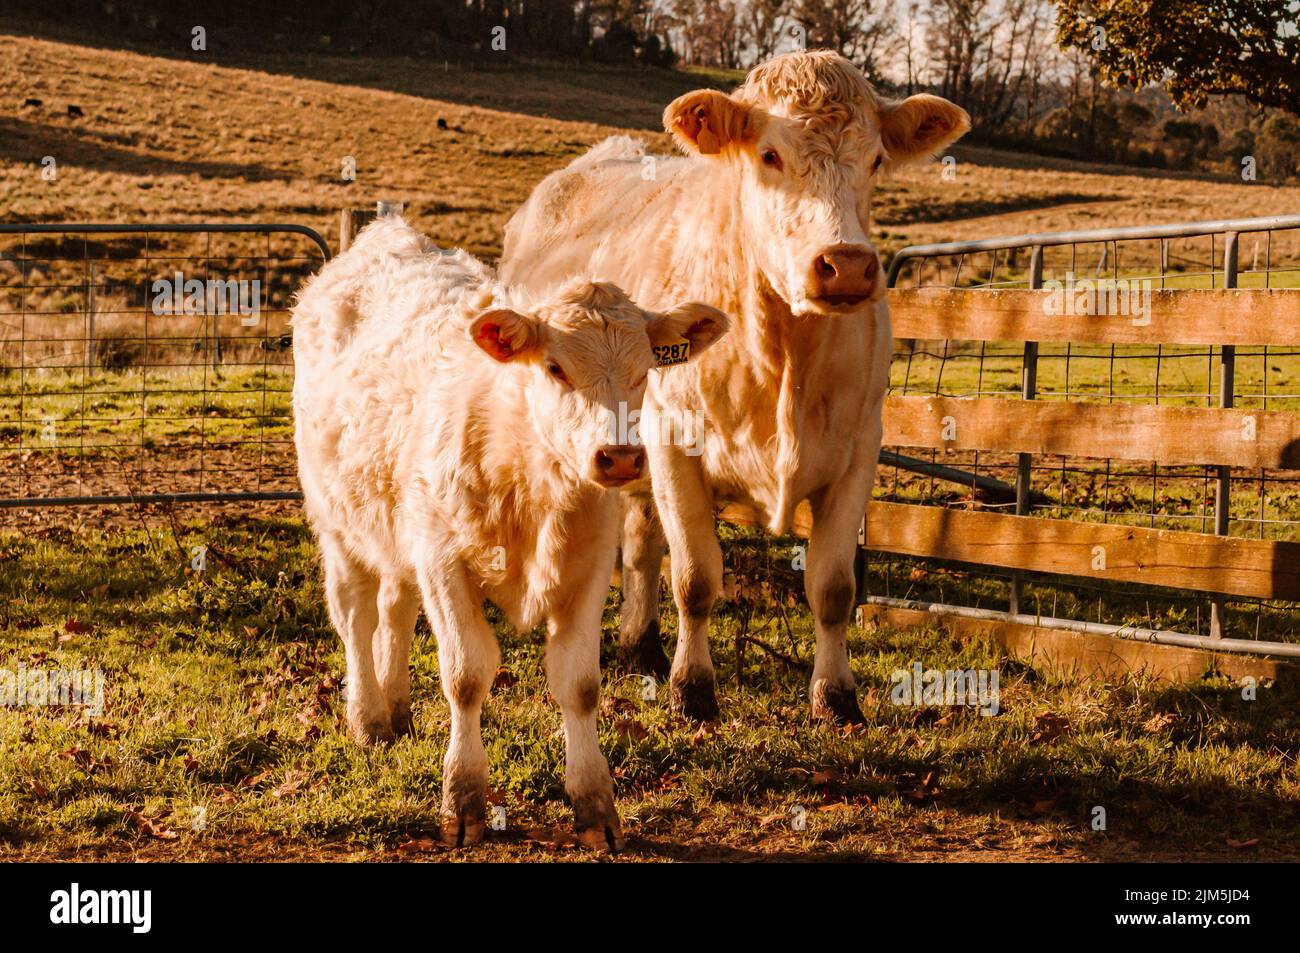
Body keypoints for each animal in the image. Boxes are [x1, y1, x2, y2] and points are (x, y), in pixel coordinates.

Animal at [291, 217, 727, 849]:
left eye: (645, 370)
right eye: (554, 367)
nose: (619, 456)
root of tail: (383, 235)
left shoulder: (587, 567)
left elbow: (579, 684)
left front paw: (594, 804)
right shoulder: (443, 561)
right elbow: (466, 676)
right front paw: (463, 799)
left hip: (399, 530)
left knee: (395, 609)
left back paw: (396, 710)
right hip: (338, 522)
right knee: (356, 615)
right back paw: (369, 718)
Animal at [500, 50, 969, 724]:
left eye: (877, 159)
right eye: (769, 154)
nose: (847, 265)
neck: (785, 357)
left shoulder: (859, 451)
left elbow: (833, 586)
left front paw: (836, 698)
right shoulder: (675, 447)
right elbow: (696, 577)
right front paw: (692, 690)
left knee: (640, 541)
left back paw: (641, 647)